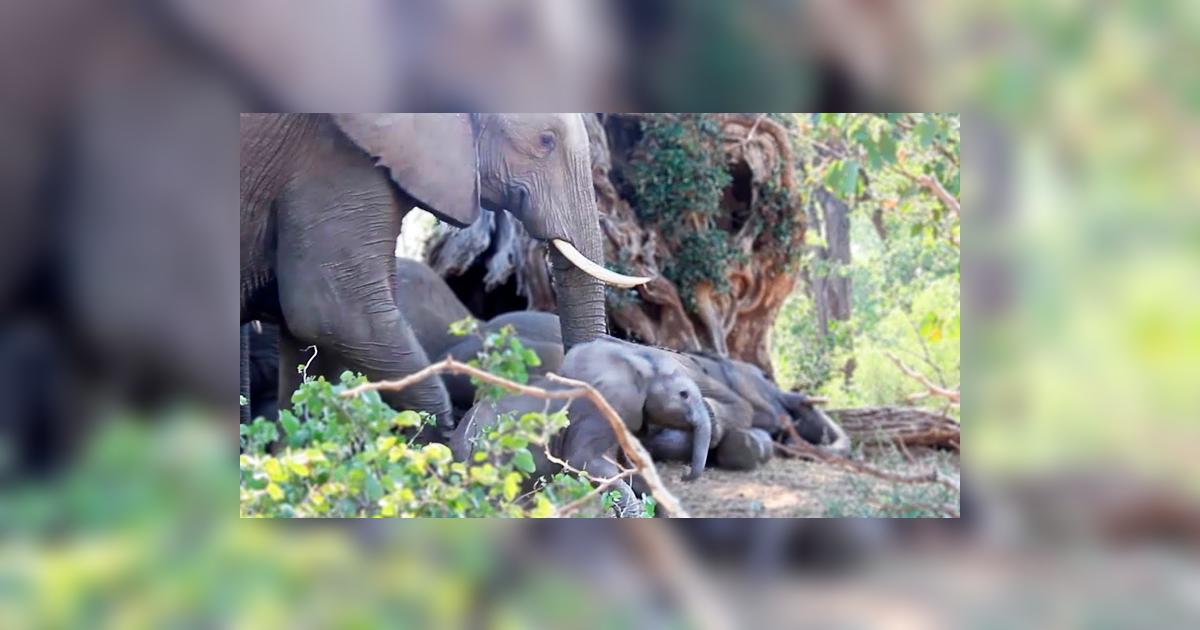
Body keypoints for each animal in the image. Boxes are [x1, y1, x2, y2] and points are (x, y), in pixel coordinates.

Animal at [451, 337, 712, 515]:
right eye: (684, 395)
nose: (684, 473)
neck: (633, 358)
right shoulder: (599, 415)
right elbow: (585, 463)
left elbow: (630, 471)